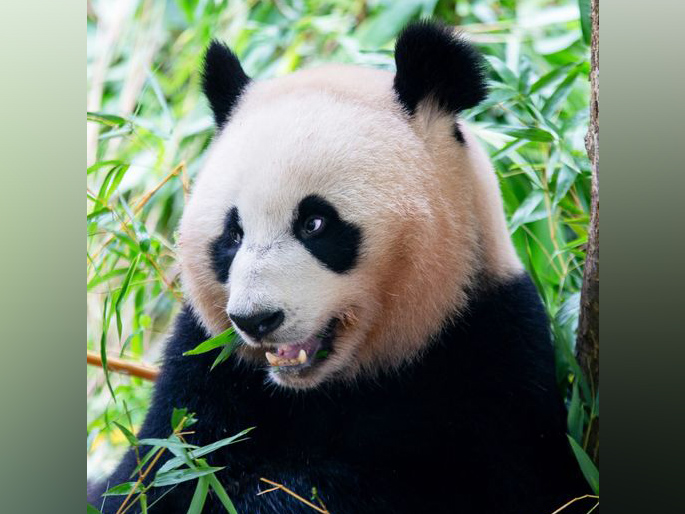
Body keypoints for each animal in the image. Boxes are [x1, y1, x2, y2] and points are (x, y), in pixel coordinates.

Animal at [89, 21, 590, 514]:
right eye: (233, 234)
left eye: (315, 223)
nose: (256, 319)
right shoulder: (206, 372)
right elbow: (162, 476)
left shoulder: (490, 355)